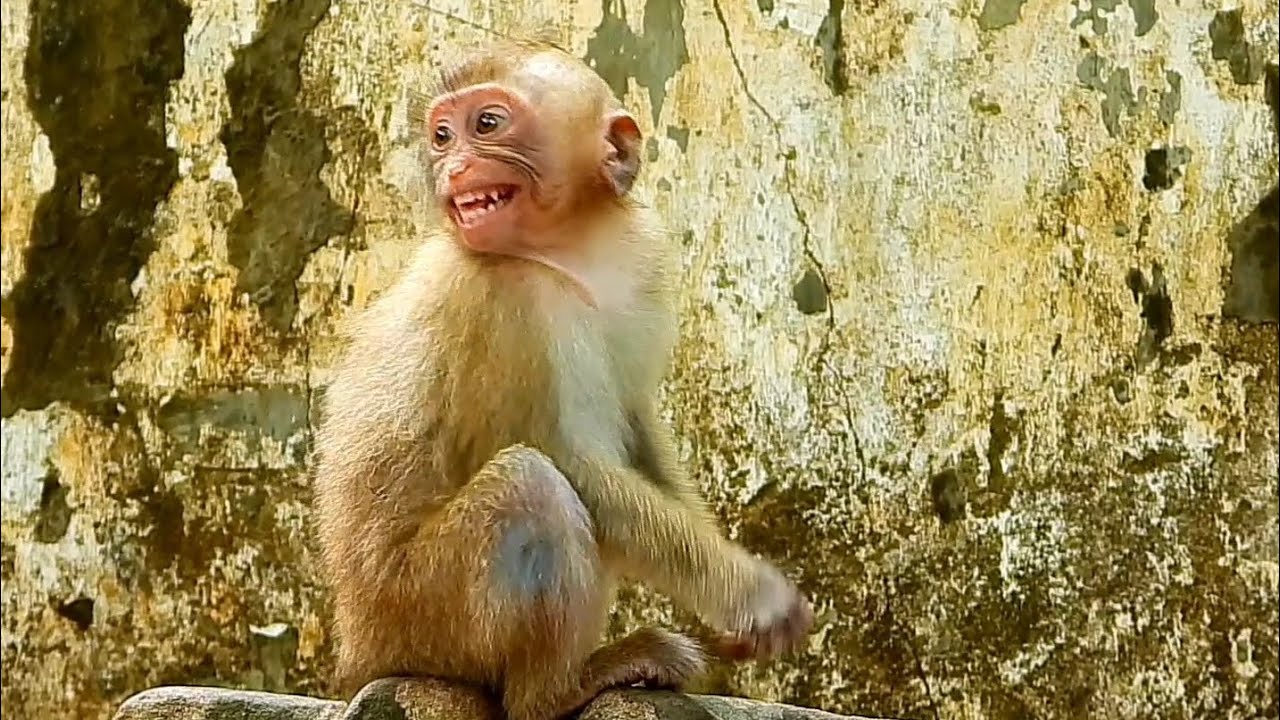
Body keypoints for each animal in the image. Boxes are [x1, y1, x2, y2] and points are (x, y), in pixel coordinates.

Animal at [311, 40, 813, 720]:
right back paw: (556, 690)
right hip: (419, 616)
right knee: (532, 484)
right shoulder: (506, 300)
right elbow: (574, 464)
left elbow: (636, 425)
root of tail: (356, 649)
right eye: (442, 136)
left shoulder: (644, 261)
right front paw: (752, 595)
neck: (570, 250)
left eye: (486, 124)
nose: (455, 166)